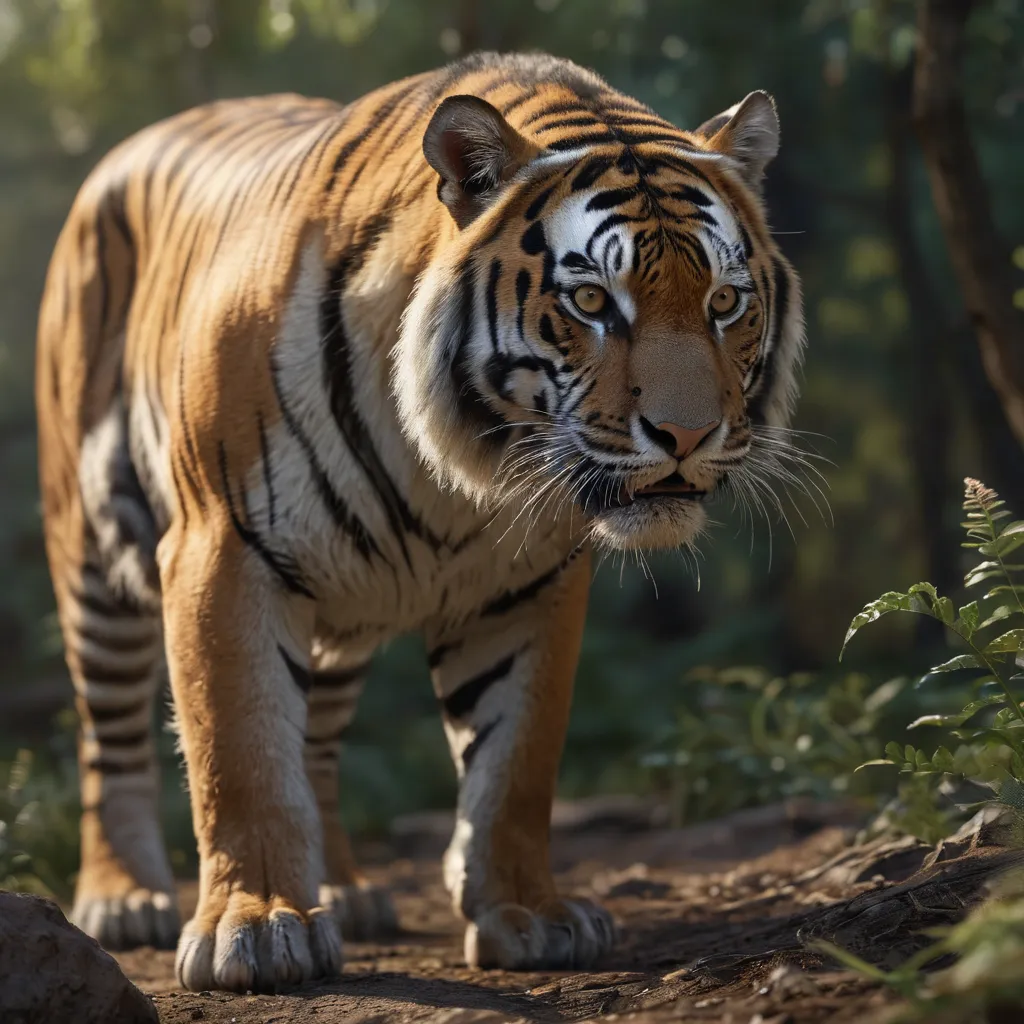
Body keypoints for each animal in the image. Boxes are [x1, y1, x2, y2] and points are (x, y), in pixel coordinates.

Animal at [35, 51, 804, 992]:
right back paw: (125, 898)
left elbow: (516, 766)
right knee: (110, 736)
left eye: (725, 302)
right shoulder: (222, 549)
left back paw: (346, 892)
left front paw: (529, 916)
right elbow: (240, 754)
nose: (687, 436)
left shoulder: (531, 581)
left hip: (340, 597)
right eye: (592, 301)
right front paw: (253, 929)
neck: (461, 468)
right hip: (94, 555)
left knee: (317, 743)